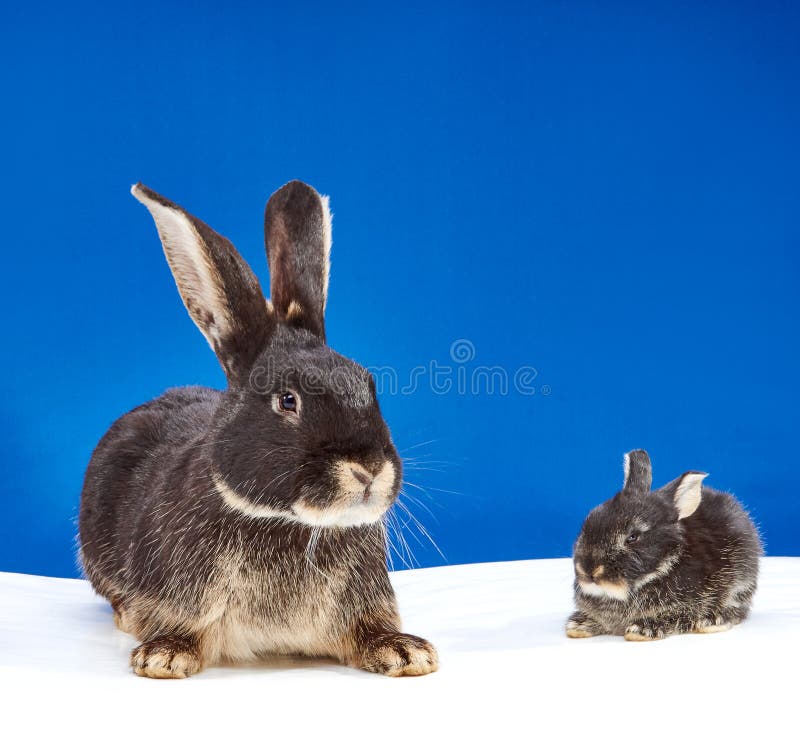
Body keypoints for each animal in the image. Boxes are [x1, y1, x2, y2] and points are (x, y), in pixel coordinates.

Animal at [79, 180, 438, 679]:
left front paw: (406, 652)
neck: (284, 521)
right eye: (288, 401)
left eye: (369, 384)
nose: (368, 469)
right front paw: (164, 657)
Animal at [566, 449, 761, 641]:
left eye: (632, 537)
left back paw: (711, 622)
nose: (588, 570)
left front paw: (642, 630)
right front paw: (578, 625)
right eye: (588, 523)